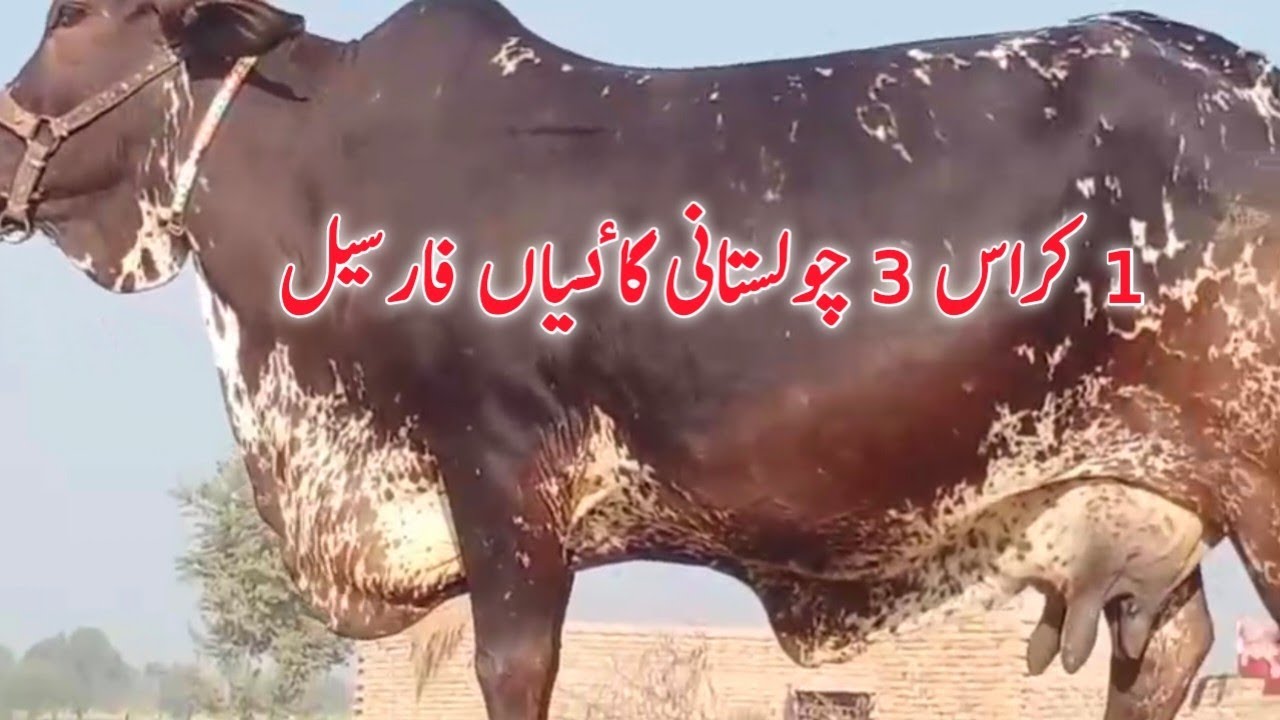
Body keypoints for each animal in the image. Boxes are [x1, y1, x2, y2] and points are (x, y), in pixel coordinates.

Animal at [2, 1, 1279, 718]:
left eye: (71, 19)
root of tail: (1236, 72)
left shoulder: (504, 484)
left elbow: (514, 674)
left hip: (1254, 479)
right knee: (1164, 657)